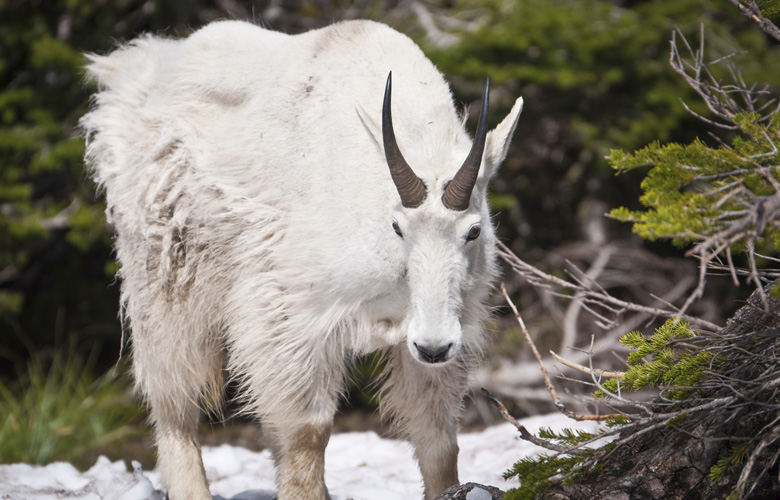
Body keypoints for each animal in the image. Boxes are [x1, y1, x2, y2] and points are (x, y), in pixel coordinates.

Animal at [81, 19, 523, 500]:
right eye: (397, 227)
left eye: (474, 231)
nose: (433, 346)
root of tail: (131, 73)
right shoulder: (291, 316)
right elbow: (307, 434)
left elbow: (437, 439)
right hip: (165, 277)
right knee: (174, 404)